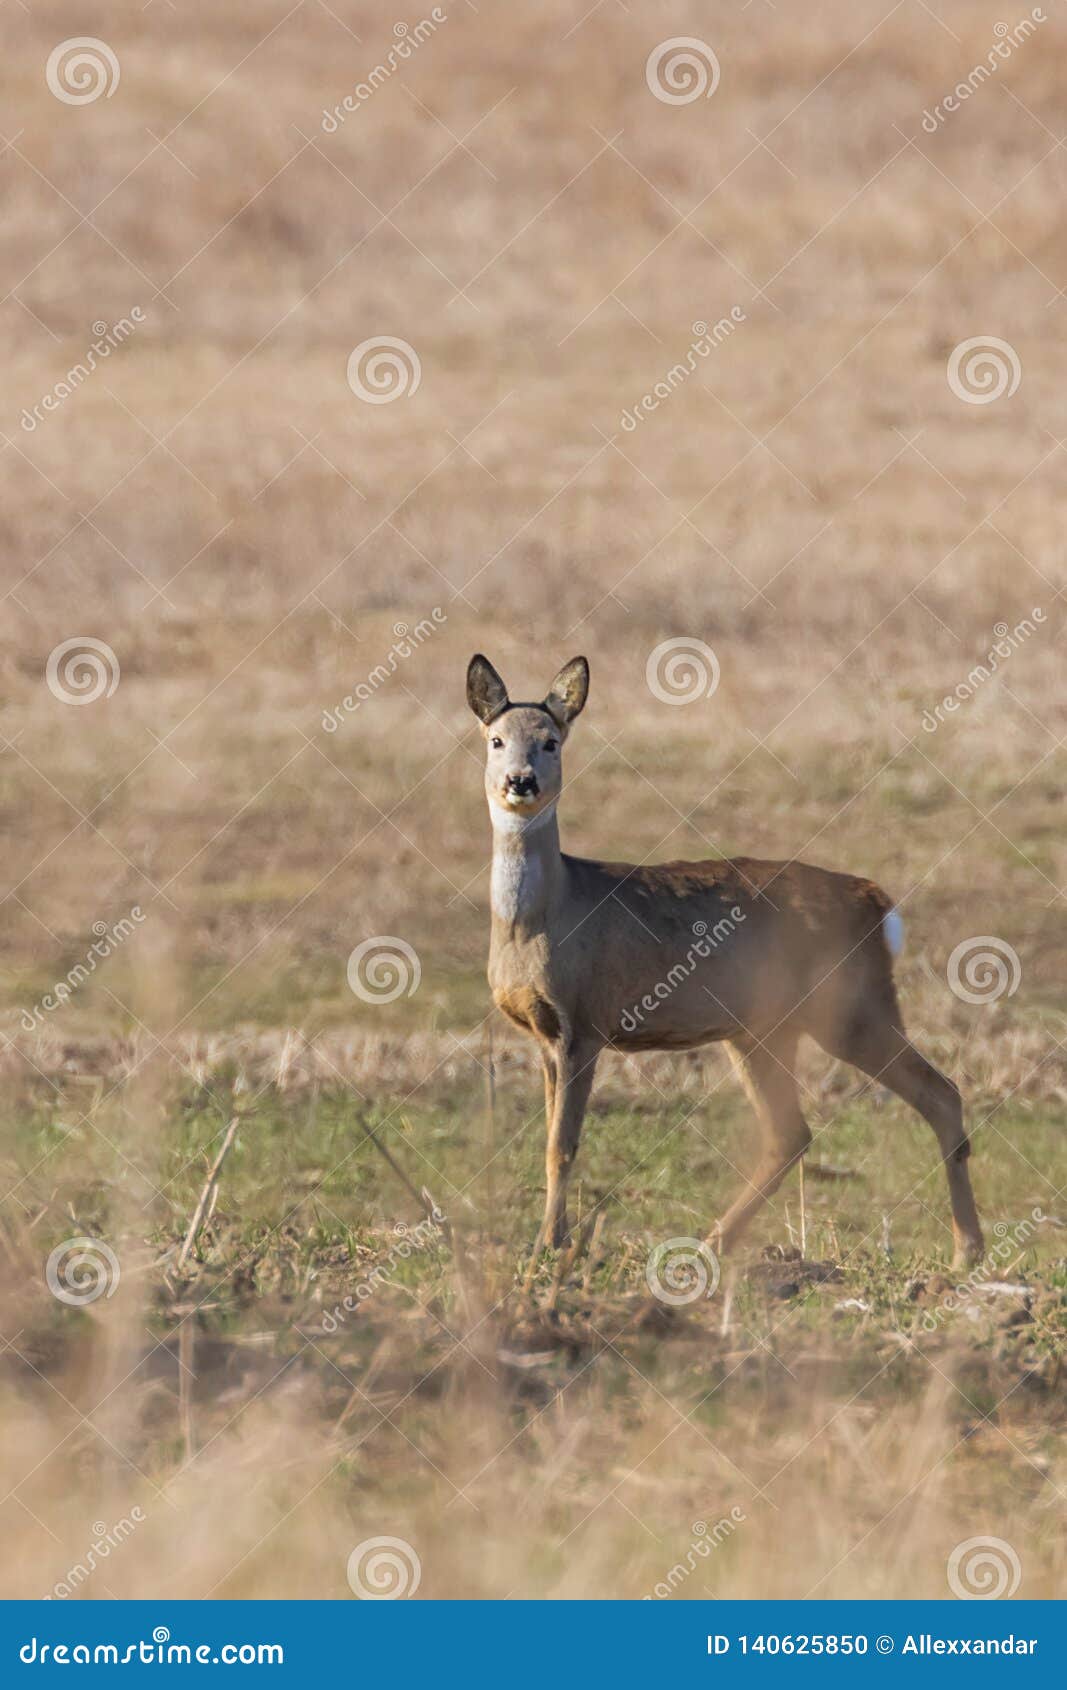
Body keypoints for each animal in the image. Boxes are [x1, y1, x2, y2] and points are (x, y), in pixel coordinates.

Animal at [466, 653, 985, 1270]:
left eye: (550, 740)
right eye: (496, 740)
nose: (520, 781)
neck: (544, 916)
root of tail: (878, 902)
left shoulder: (585, 1022)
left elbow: (561, 1145)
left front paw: (549, 1247)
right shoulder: (545, 1034)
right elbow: (549, 1139)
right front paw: (552, 1240)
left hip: (848, 1006)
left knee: (940, 1093)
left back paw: (966, 1251)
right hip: (763, 1029)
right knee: (793, 1133)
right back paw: (716, 1242)